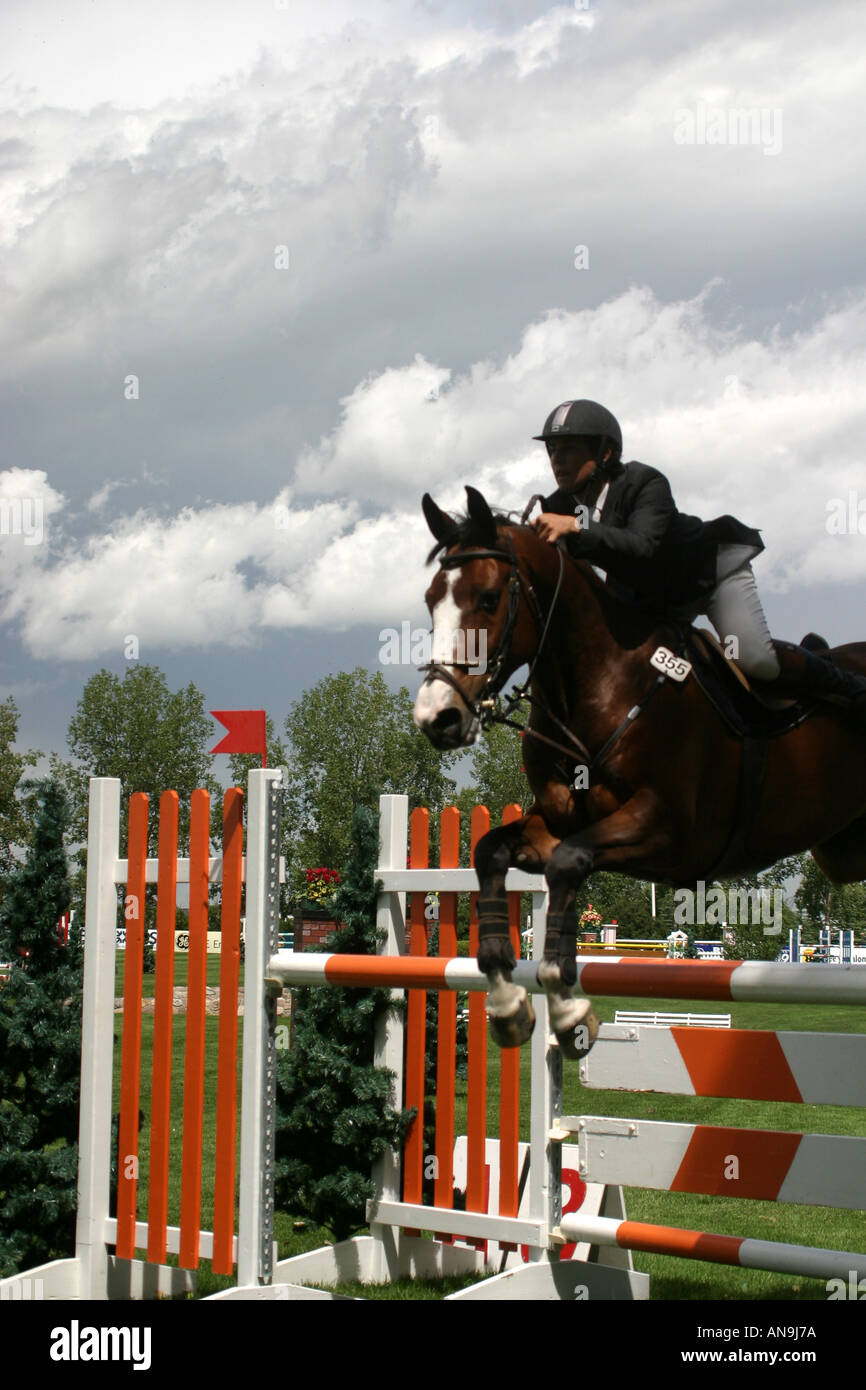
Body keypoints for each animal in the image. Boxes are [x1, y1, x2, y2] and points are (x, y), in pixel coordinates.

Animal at [413, 486, 866, 1058]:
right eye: (431, 599)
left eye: (490, 598)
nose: (438, 717)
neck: (596, 686)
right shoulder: (553, 823)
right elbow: (491, 851)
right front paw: (509, 1005)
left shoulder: (670, 832)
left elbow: (568, 862)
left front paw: (568, 1008)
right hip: (844, 855)